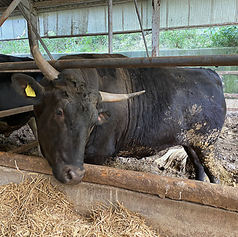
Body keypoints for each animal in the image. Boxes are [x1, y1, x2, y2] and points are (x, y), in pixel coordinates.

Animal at [11, 54, 227, 185]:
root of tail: (209, 73)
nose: (73, 174)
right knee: (198, 166)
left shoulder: (98, 155)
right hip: (191, 142)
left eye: (93, 122)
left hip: (208, 143)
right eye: (59, 112)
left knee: (214, 173)